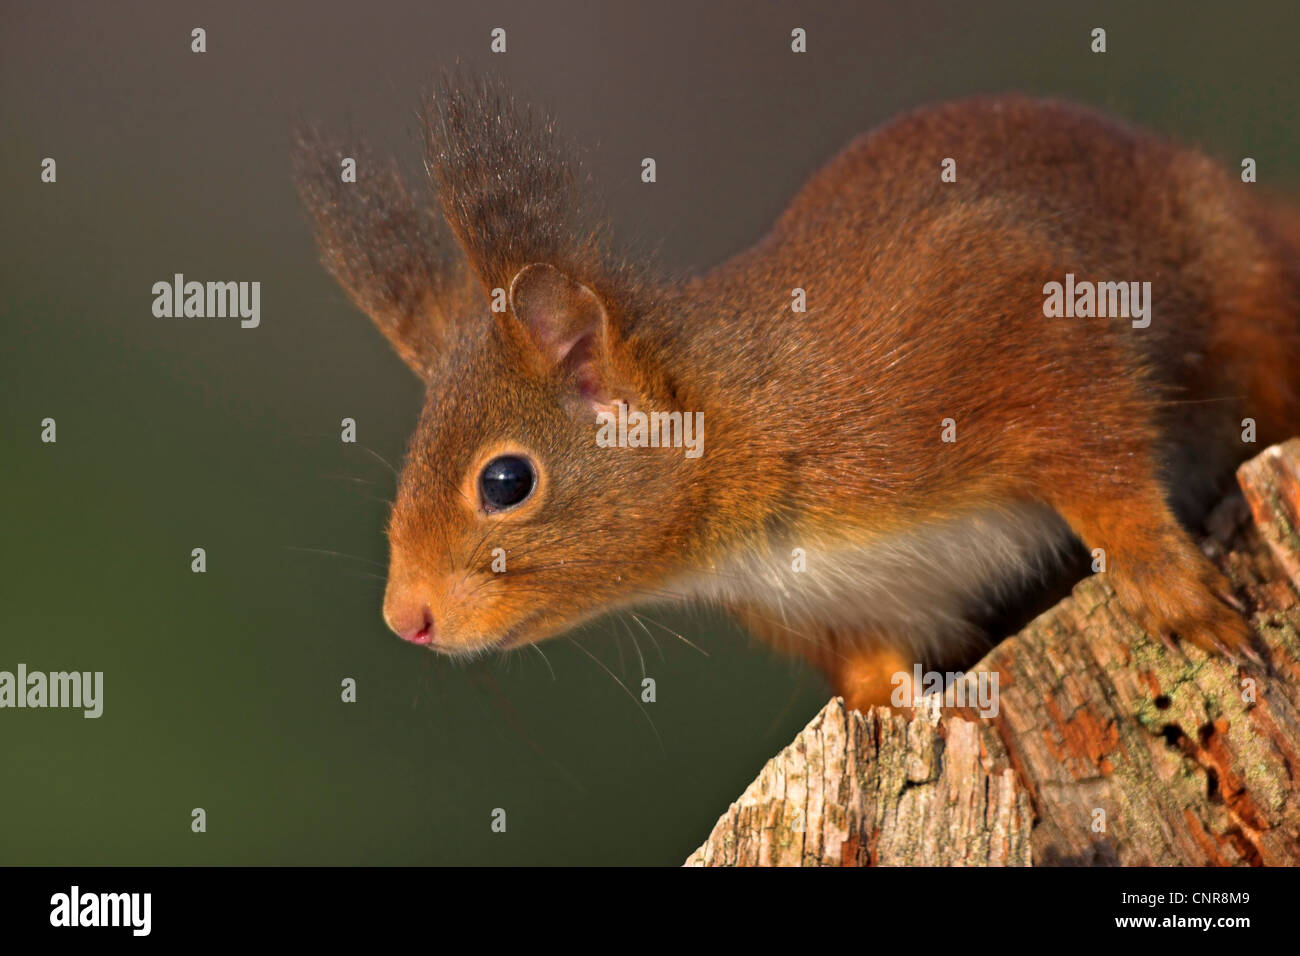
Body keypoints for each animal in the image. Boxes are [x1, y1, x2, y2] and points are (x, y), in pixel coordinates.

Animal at [297, 74, 1300, 711]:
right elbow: (870, 664)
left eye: (506, 482)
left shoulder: (997, 325)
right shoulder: (835, 609)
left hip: (1240, 292)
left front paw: (1170, 587)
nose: (406, 620)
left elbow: (1097, 452)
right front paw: (886, 705)